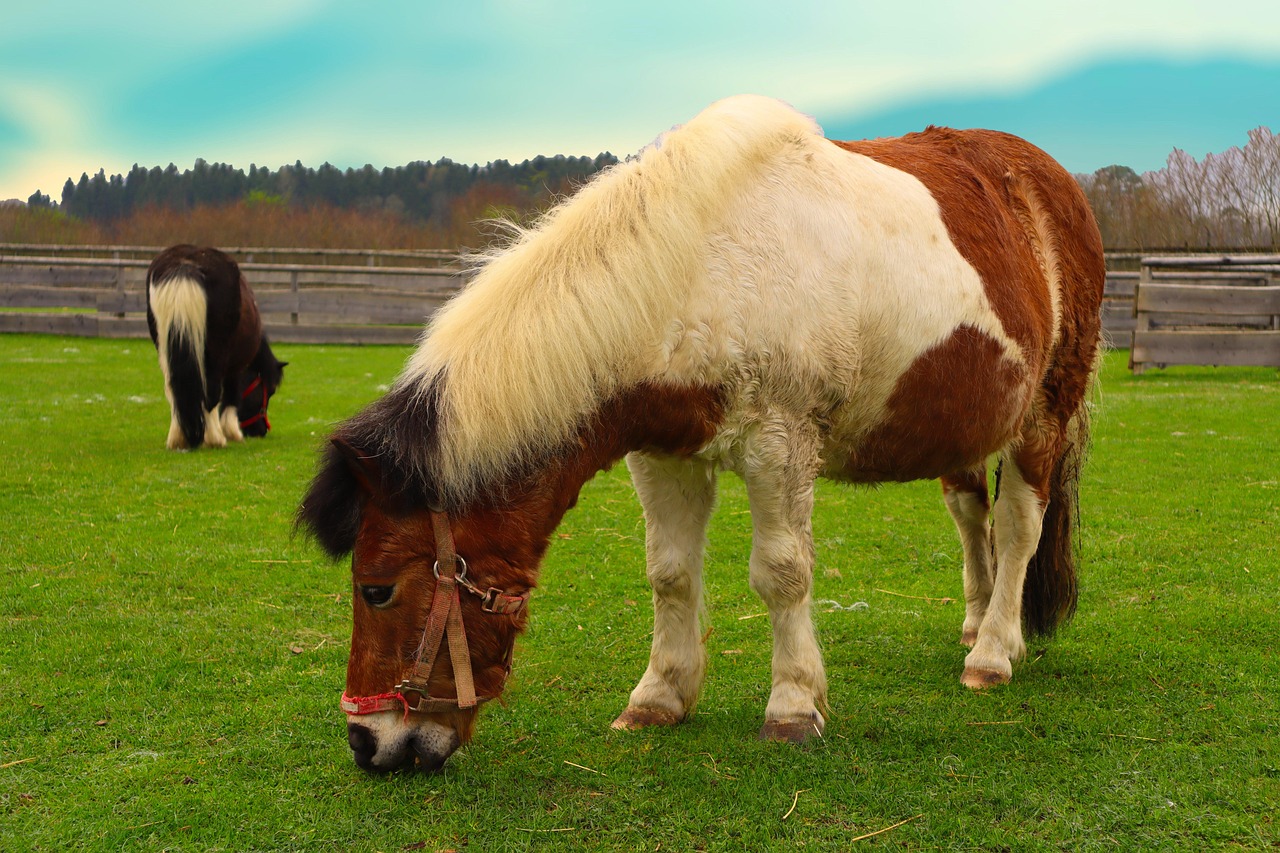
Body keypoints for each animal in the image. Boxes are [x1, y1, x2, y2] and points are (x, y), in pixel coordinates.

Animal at [146, 244, 287, 450]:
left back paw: (179, 437)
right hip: (216, 353)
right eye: (271, 390)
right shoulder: (236, 368)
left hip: (165, 348)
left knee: (173, 391)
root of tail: (186, 263)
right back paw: (214, 438)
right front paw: (231, 432)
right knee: (211, 393)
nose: (261, 431)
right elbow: (231, 395)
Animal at [298, 95, 1105, 772]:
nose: (367, 743)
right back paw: (977, 624)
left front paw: (793, 707)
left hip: (1044, 413)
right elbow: (670, 574)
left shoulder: (779, 445)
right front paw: (659, 696)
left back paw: (993, 652)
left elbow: (782, 573)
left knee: (1019, 527)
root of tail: (1050, 180)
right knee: (972, 519)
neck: (697, 269)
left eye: (375, 590)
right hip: (970, 429)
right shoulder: (662, 454)